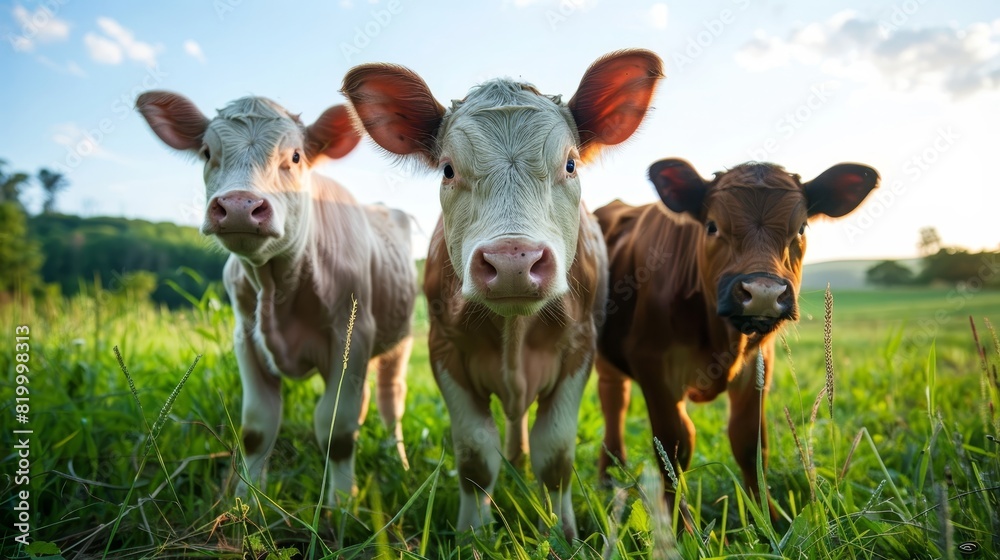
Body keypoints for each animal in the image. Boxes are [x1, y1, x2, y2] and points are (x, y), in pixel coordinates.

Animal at [136, 91, 417, 507]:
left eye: (296, 157)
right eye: (207, 152)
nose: (238, 206)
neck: (277, 287)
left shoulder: (353, 334)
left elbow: (338, 429)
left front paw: (341, 505)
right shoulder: (246, 337)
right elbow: (257, 428)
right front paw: (245, 501)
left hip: (401, 341)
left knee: (390, 402)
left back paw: (398, 461)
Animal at [342, 49, 663, 537]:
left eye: (570, 164)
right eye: (448, 169)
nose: (514, 260)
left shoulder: (579, 353)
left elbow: (556, 456)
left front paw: (562, 533)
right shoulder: (444, 352)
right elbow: (475, 457)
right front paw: (472, 535)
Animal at [595, 158, 878, 520]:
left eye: (801, 228)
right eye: (712, 226)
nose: (763, 293)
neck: (720, 338)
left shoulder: (757, 366)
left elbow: (749, 442)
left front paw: (769, 517)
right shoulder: (654, 366)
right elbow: (673, 446)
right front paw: (678, 524)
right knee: (613, 404)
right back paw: (606, 481)